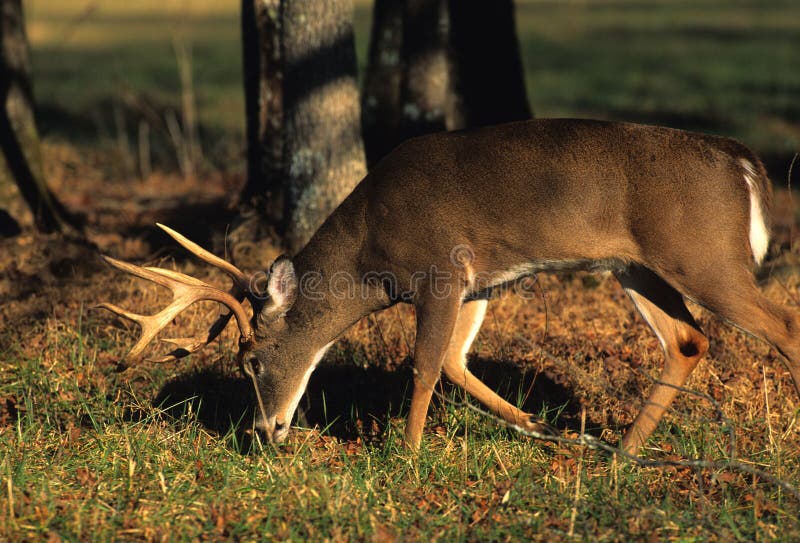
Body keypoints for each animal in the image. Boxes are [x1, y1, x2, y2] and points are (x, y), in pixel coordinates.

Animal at [98, 118, 800, 455]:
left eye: (252, 360)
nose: (264, 434)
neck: (369, 254)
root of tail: (744, 163)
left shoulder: (437, 270)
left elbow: (425, 365)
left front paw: (404, 458)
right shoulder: (477, 282)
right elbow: (458, 363)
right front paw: (544, 429)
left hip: (703, 256)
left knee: (783, 326)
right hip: (635, 265)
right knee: (687, 340)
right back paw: (619, 453)